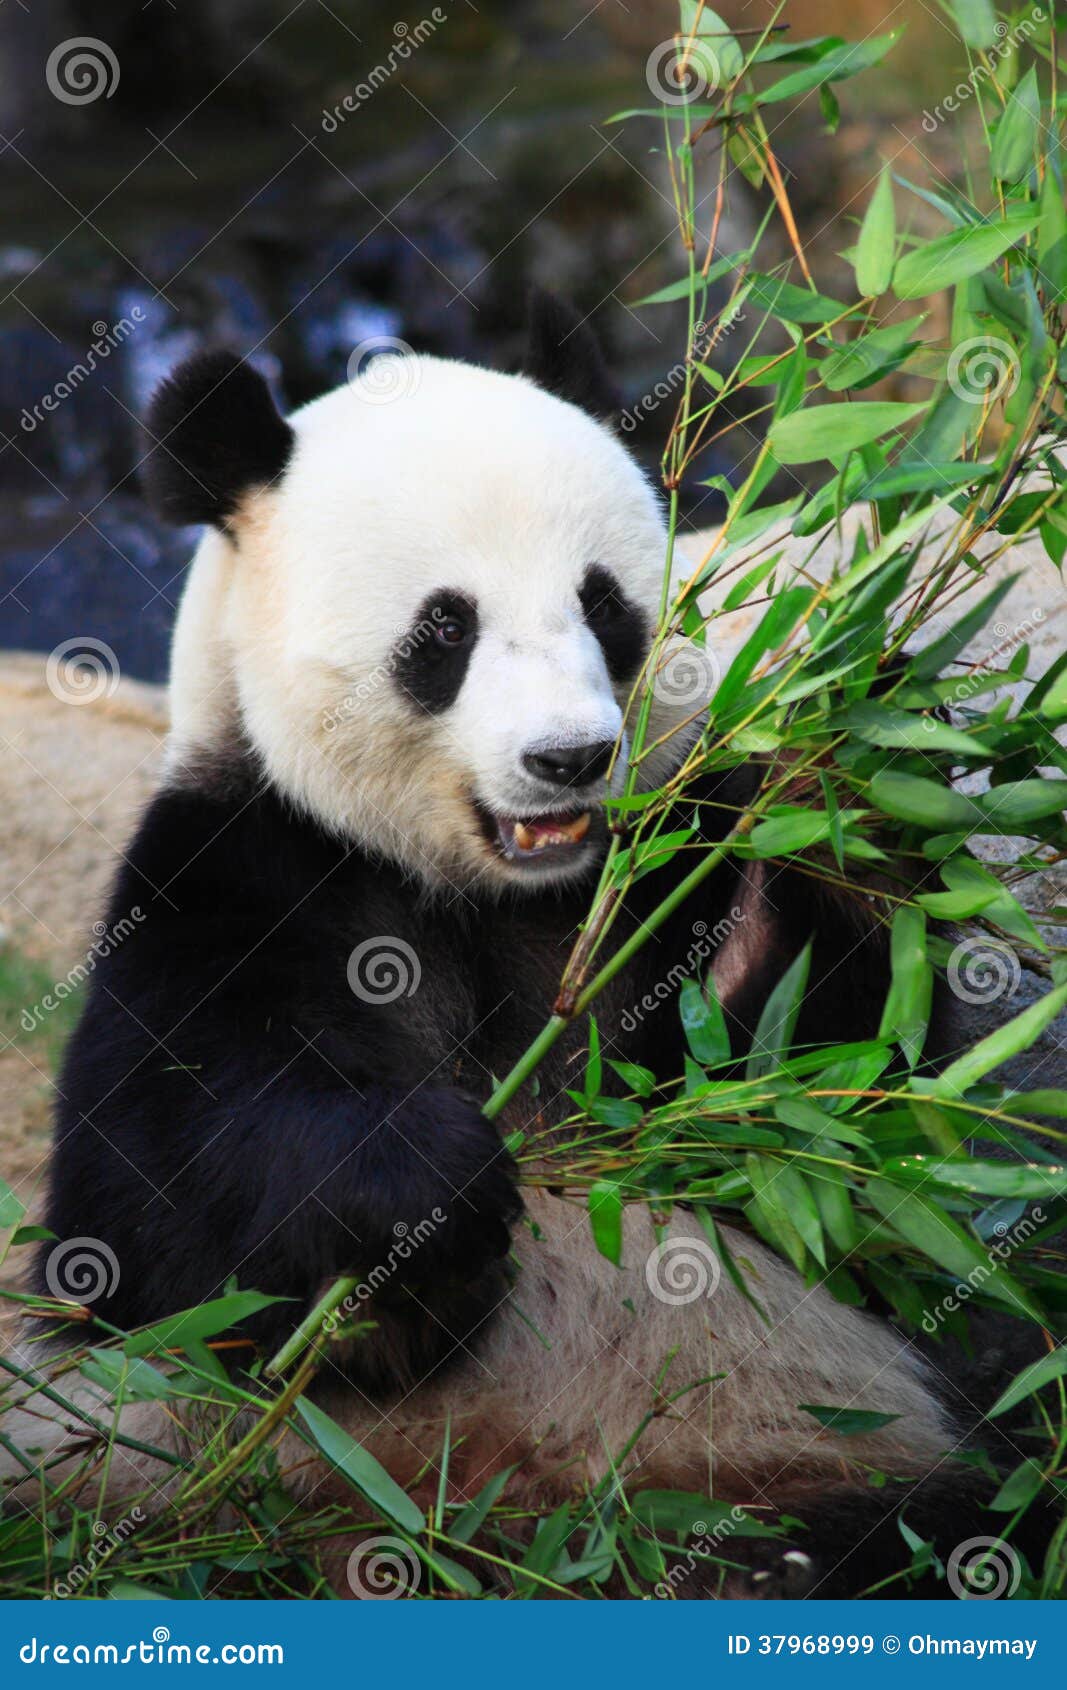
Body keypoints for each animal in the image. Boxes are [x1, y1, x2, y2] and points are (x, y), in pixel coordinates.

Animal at [11, 294, 1008, 1597]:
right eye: (445, 627)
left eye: (603, 607)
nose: (567, 756)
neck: (484, 888)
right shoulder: (236, 874)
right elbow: (151, 1212)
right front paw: (419, 1193)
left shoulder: (653, 886)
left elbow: (833, 1130)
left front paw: (843, 770)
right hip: (164, 1469)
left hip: (820, 1457)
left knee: (915, 1530)